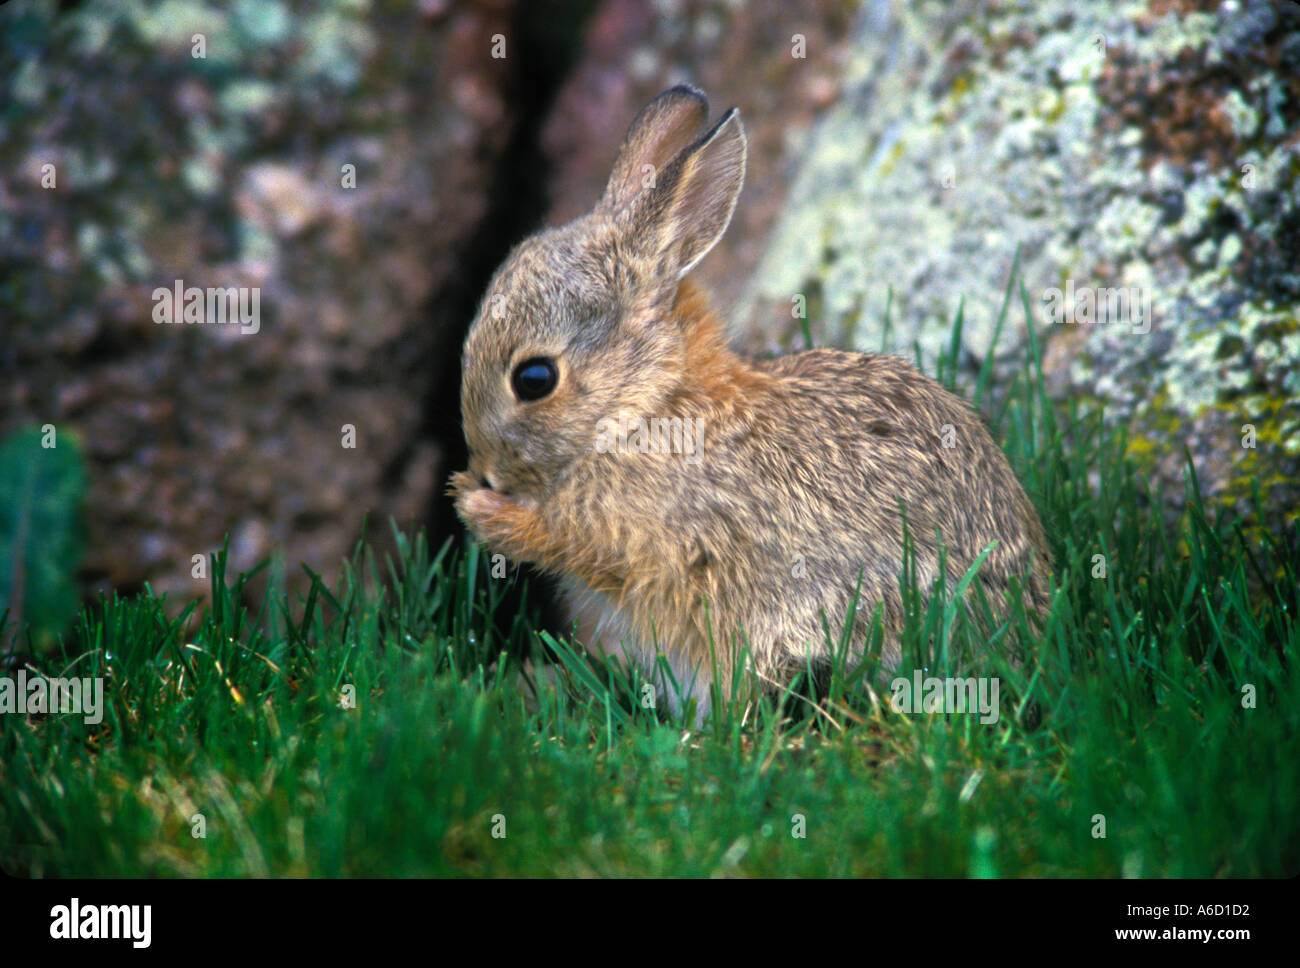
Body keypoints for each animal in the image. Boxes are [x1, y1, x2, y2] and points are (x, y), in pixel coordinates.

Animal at [449, 84, 1053, 721]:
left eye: (534, 378)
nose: (487, 470)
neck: (647, 405)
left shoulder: (655, 533)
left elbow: (575, 544)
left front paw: (475, 506)